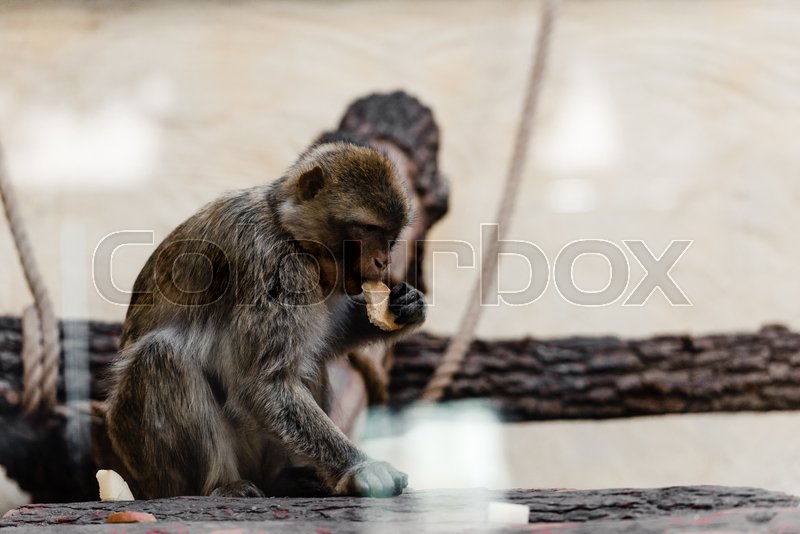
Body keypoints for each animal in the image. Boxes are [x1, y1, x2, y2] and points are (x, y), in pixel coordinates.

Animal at [106, 141, 426, 499]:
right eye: (369, 229)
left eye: (391, 235)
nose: (383, 261)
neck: (287, 227)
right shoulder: (276, 265)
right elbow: (261, 383)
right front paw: (361, 468)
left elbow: (327, 340)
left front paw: (407, 306)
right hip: (153, 467)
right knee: (160, 355)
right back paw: (221, 485)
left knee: (310, 362)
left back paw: (285, 478)